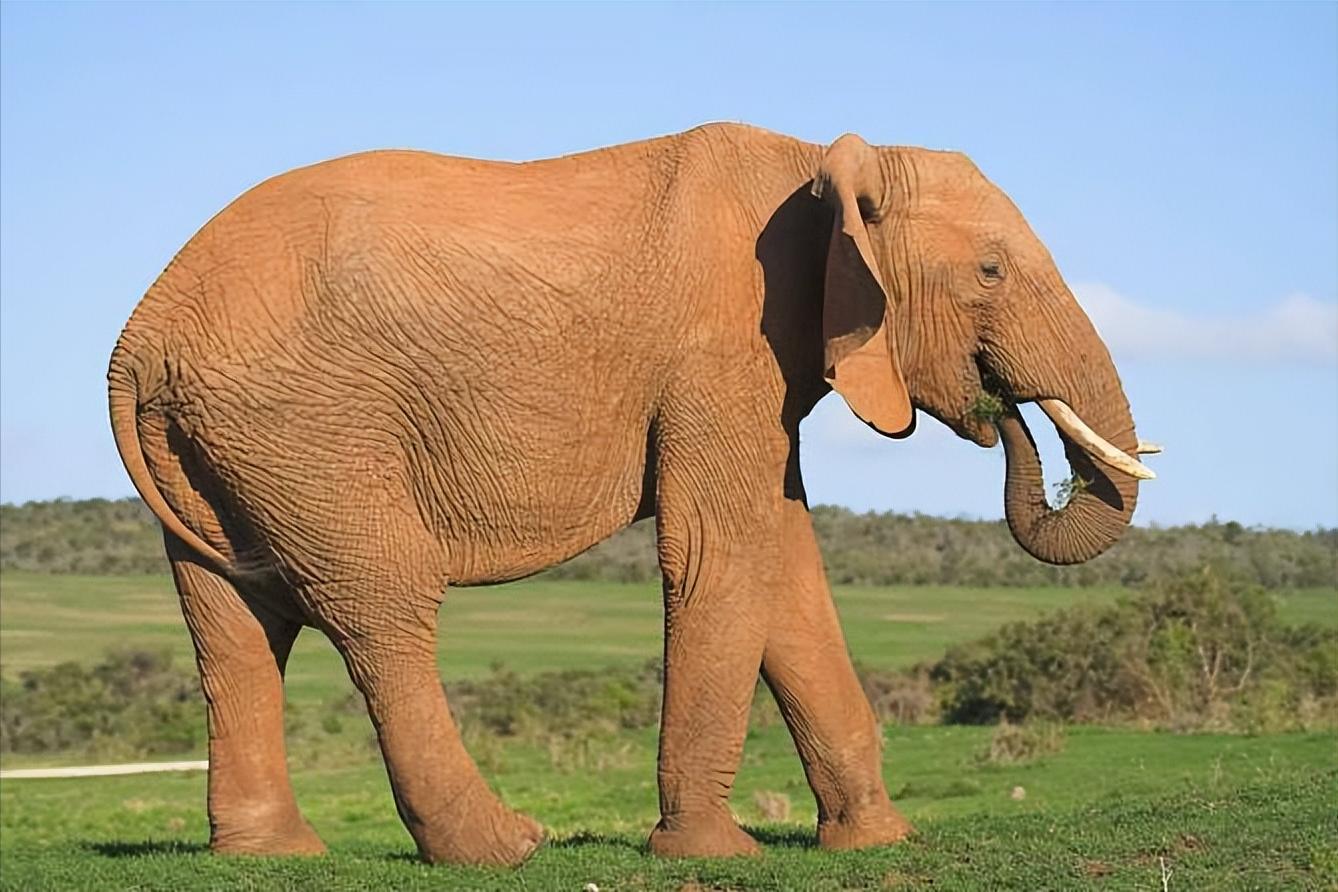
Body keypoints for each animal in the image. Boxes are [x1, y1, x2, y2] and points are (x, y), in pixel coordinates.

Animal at [108, 123, 1156, 866]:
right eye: (990, 272)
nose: (997, 414)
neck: (819, 165)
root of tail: (137, 340)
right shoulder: (721, 351)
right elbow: (720, 550)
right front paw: (713, 854)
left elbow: (787, 565)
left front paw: (875, 843)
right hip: (307, 428)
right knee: (381, 606)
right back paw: (505, 850)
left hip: (226, 449)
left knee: (234, 624)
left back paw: (275, 855)